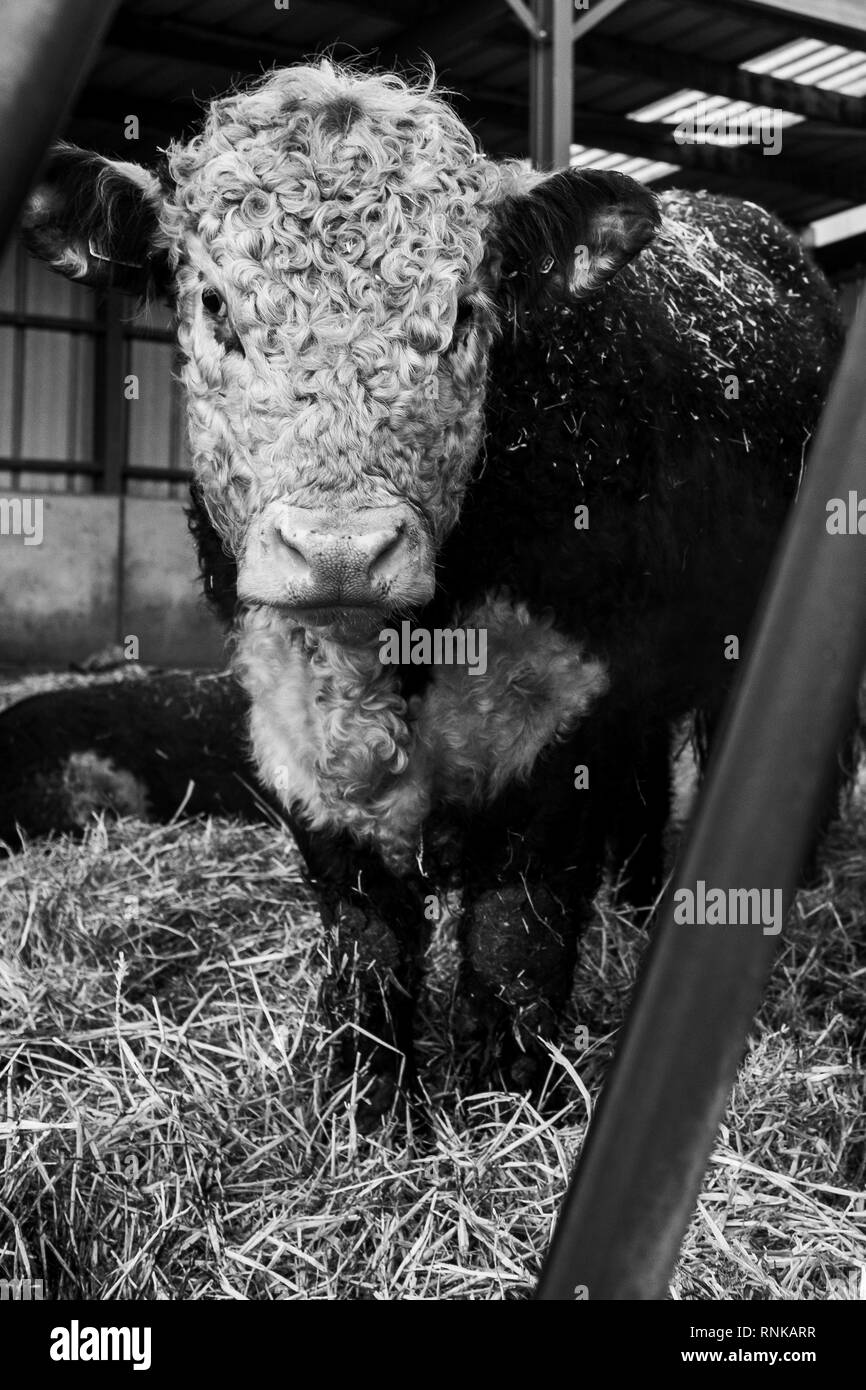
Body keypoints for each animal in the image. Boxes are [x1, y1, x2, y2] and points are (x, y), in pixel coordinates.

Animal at [21, 61, 843, 1114]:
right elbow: (366, 930)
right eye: (214, 304)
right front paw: (362, 1103)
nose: (340, 549)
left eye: (459, 313)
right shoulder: (287, 707)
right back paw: (634, 903)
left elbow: (516, 924)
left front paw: (507, 1100)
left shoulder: (562, 705)